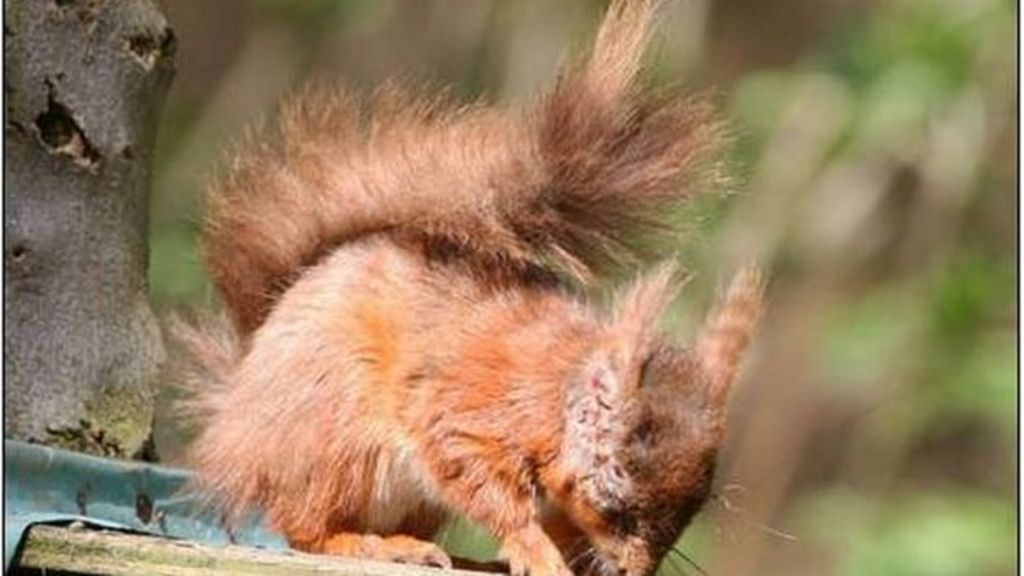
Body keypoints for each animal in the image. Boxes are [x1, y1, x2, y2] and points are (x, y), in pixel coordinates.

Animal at [173, 1, 764, 575]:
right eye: (615, 474)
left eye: (698, 502)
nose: (633, 570)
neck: (553, 390)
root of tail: (238, 418)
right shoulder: (467, 412)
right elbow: (481, 479)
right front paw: (538, 553)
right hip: (336, 439)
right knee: (303, 526)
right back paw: (374, 546)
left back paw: (451, 554)